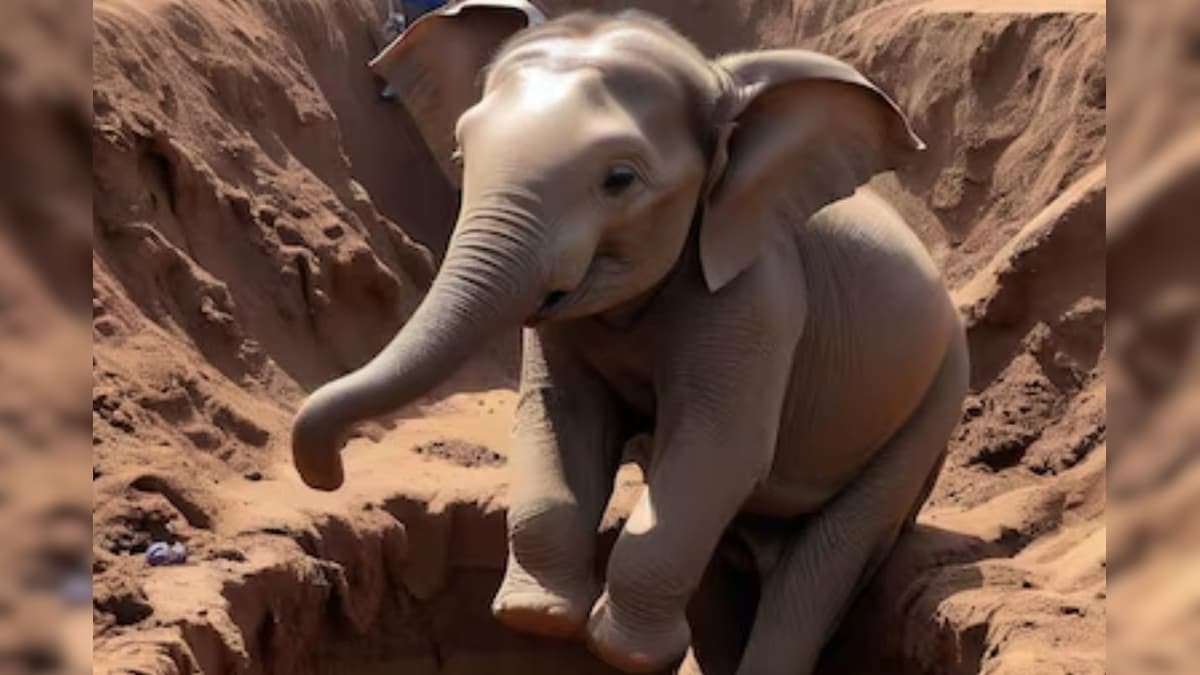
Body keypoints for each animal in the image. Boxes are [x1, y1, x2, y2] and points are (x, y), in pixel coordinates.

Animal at [291, 2, 968, 674]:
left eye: (619, 179)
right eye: (460, 156)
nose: (329, 474)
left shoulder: (760, 295)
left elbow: (720, 446)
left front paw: (622, 651)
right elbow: (561, 413)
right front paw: (539, 617)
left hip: (931, 405)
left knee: (825, 560)